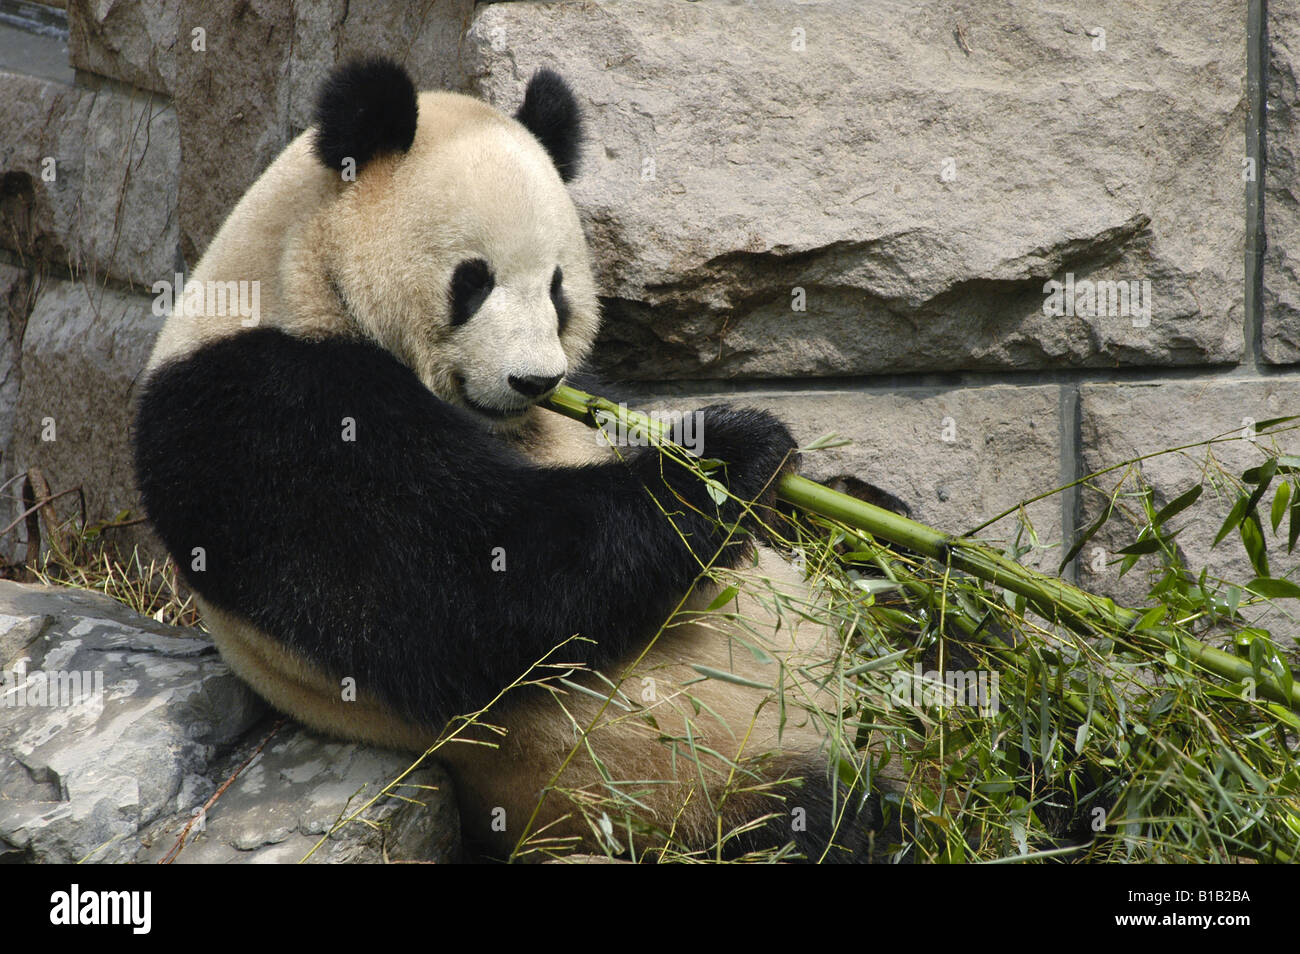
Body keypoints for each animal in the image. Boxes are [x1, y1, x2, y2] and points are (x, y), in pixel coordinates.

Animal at [134, 58, 891, 863]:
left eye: (558, 287)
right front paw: (736, 456)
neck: (291, 279)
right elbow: (470, 585)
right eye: (474, 280)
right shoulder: (257, 410)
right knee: (815, 819)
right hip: (690, 781)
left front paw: (844, 504)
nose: (536, 380)